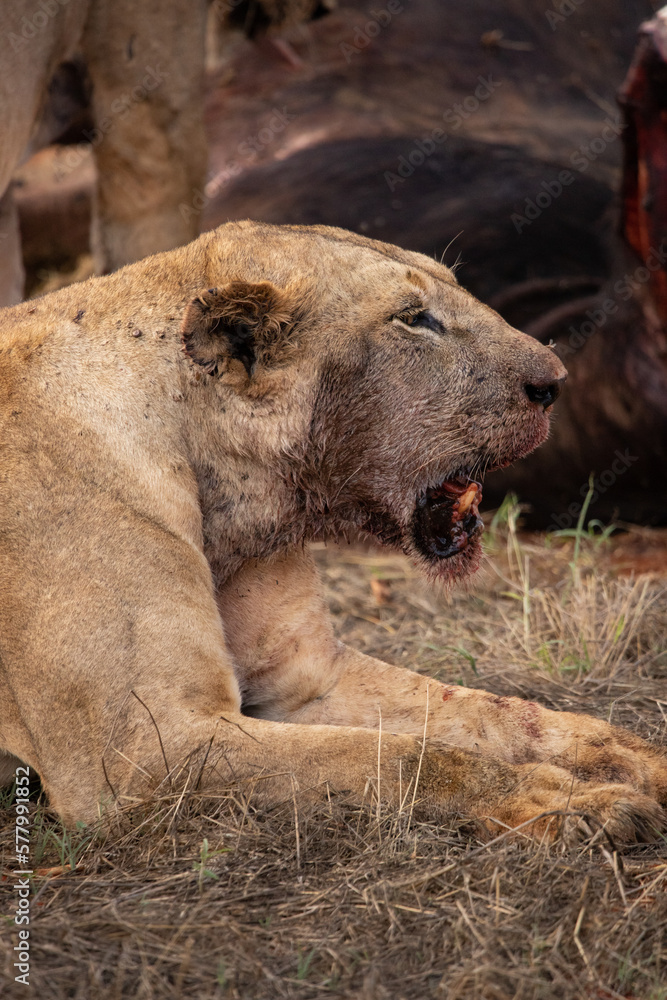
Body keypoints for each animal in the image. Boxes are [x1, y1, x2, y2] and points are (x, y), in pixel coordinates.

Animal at [1, 221, 665, 843]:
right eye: (414, 319)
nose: (556, 382)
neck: (229, 509)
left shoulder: (310, 680)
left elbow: (500, 713)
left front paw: (637, 759)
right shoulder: (138, 749)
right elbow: (405, 759)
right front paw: (563, 800)